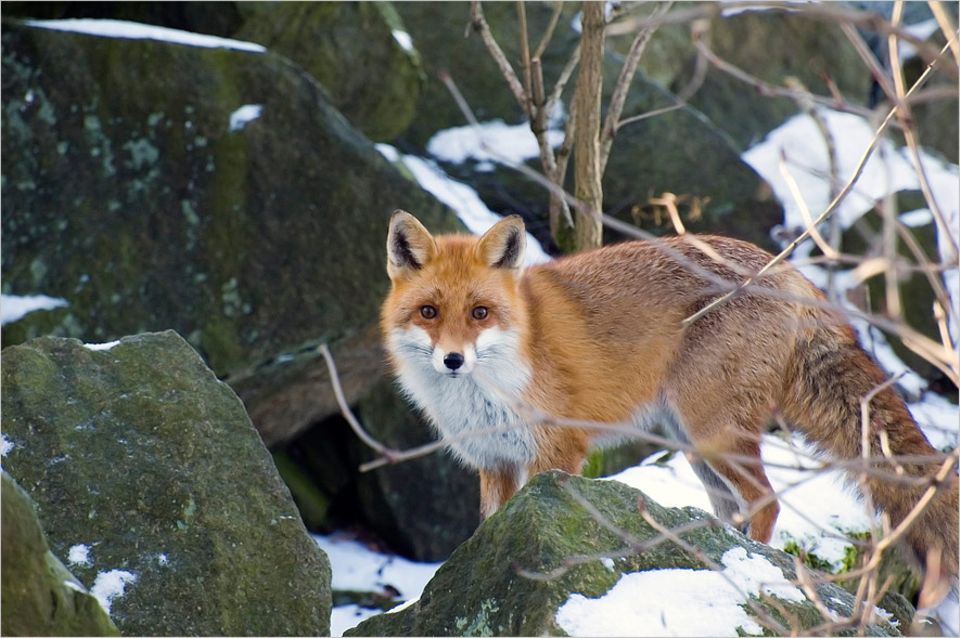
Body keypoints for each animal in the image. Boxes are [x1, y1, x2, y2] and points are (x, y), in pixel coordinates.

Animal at [380, 209, 958, 583]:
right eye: (429, 312)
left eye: (480, 313)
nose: (453, 360)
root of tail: (785, 268)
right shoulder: (495, 461)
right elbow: (491, 528)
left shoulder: (557, 452)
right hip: (695, 446)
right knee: (735, 508)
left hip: (712, 434)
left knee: (767, 500)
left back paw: (753, 566)